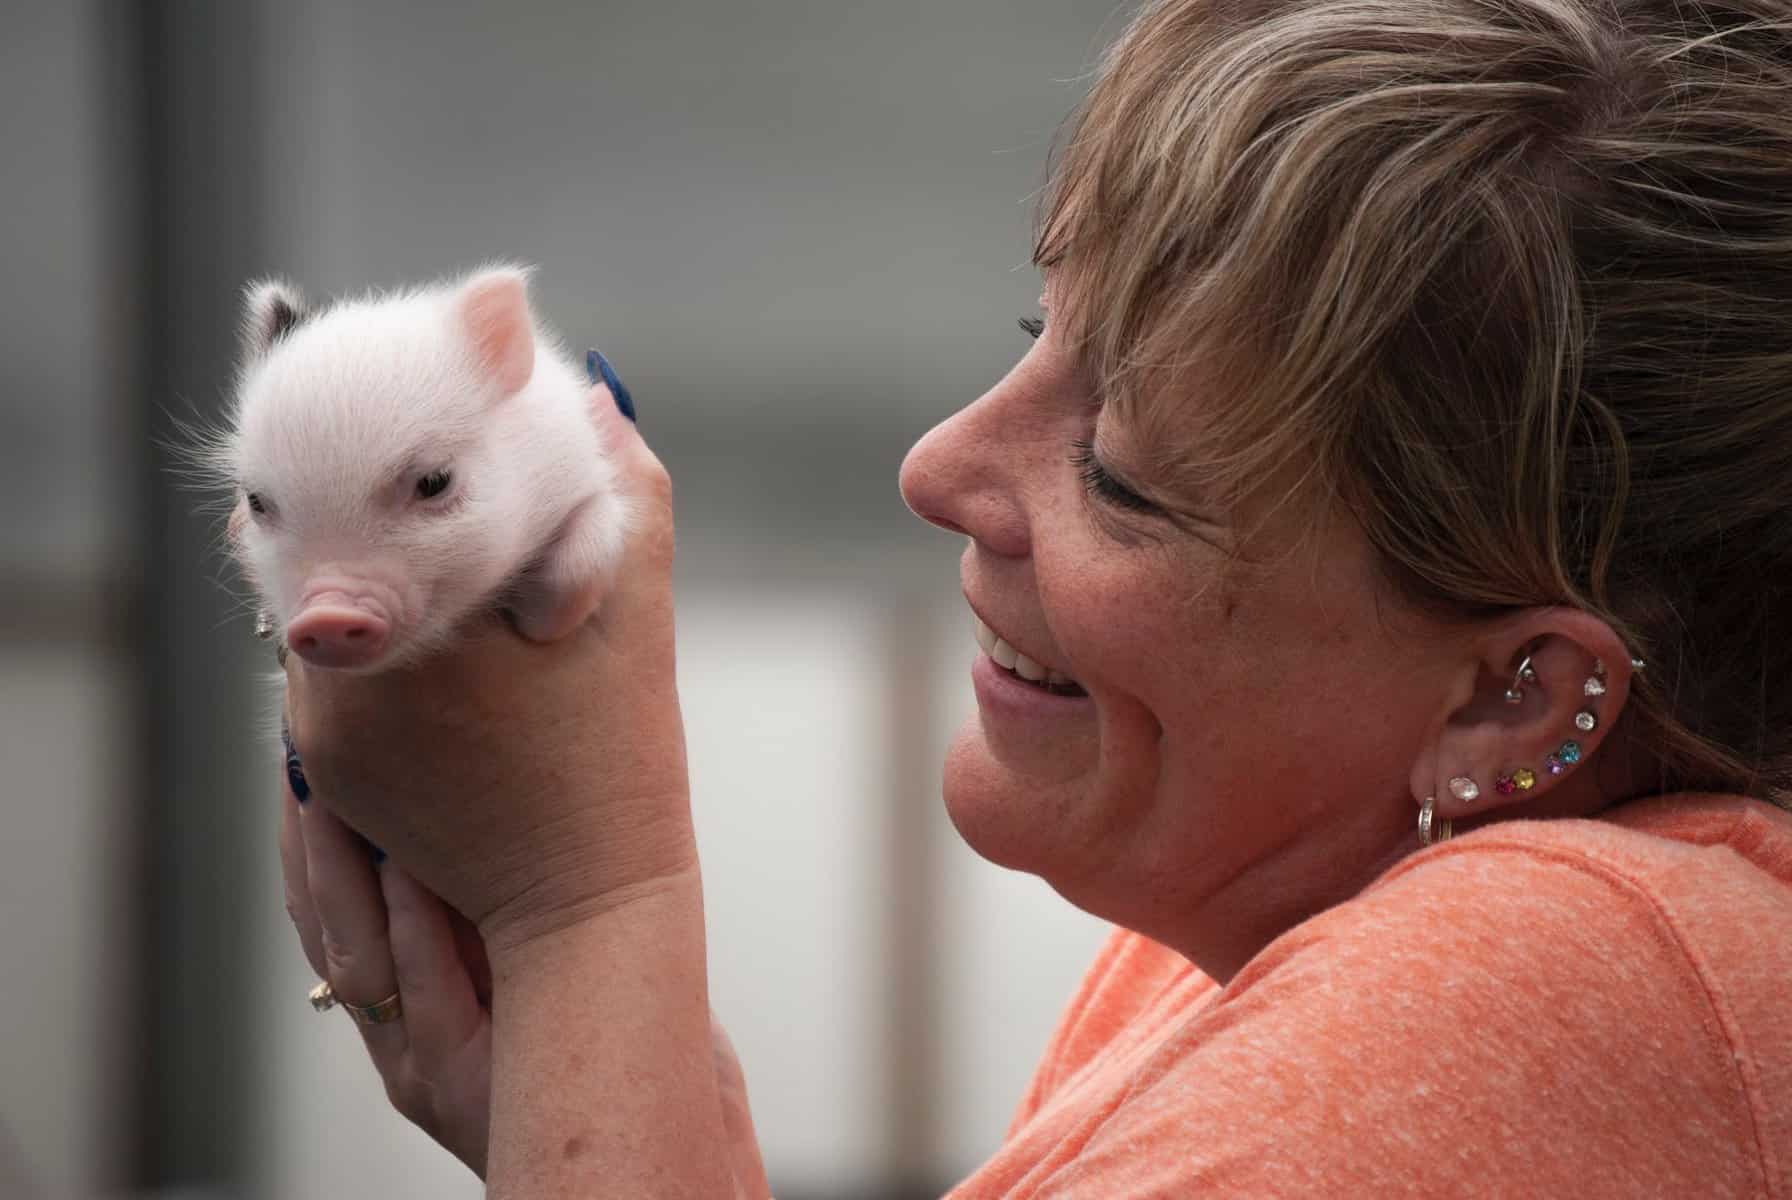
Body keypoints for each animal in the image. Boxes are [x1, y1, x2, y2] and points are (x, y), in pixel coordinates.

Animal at [208, 264, 632, 672]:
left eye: (434, 481)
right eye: (255, 501)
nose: (327, 617)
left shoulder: (588, 467)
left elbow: (590, 549)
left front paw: (535, 621)